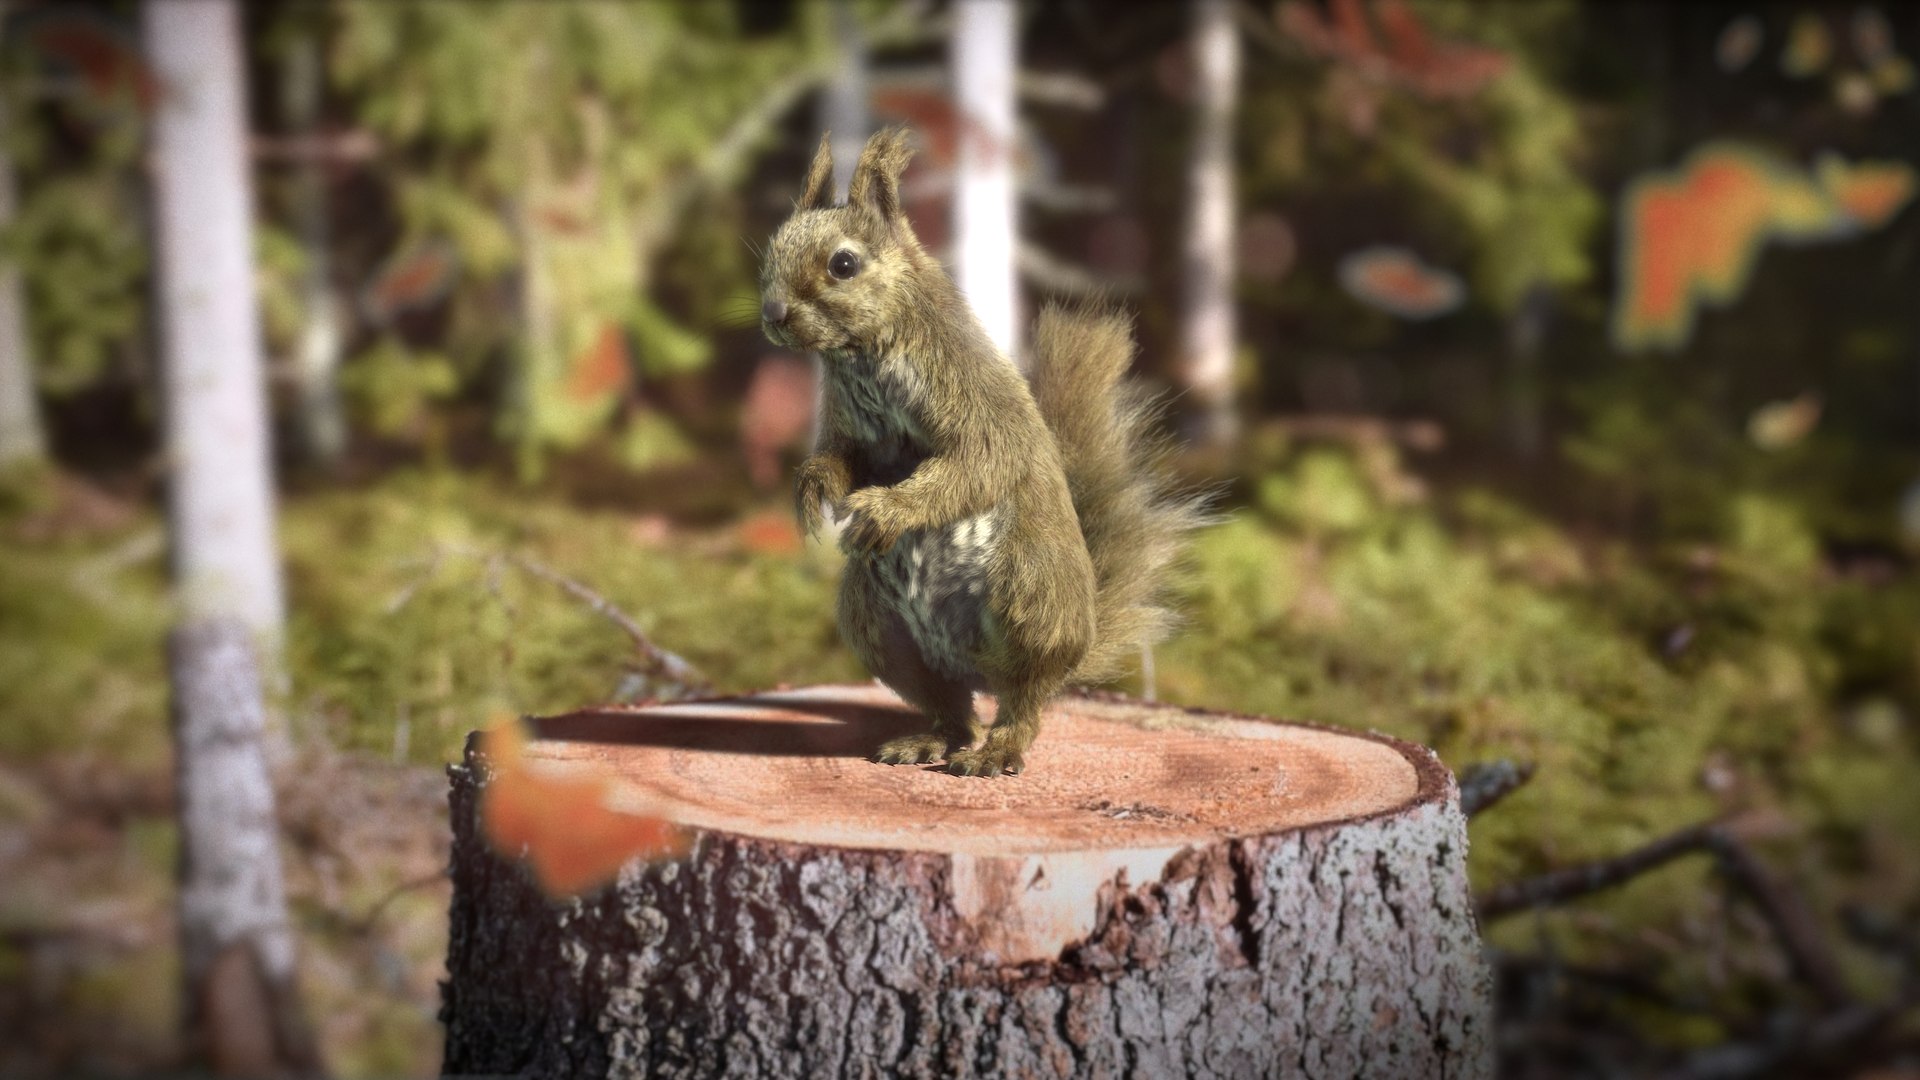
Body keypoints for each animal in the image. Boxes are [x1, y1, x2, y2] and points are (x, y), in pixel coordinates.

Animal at [758, 127, 1204, 777]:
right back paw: (927, 742)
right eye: (771, 249)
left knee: (1024, 704)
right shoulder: (852, 432)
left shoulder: (975, 403)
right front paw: (814, 486)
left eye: (844, 264)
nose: (772, 314)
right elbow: (843, 461)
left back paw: (996, 752)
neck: (858, 356)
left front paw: (885, 510)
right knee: (952, 708)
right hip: (878, 629)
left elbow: (978, 464)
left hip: (1029, 594)